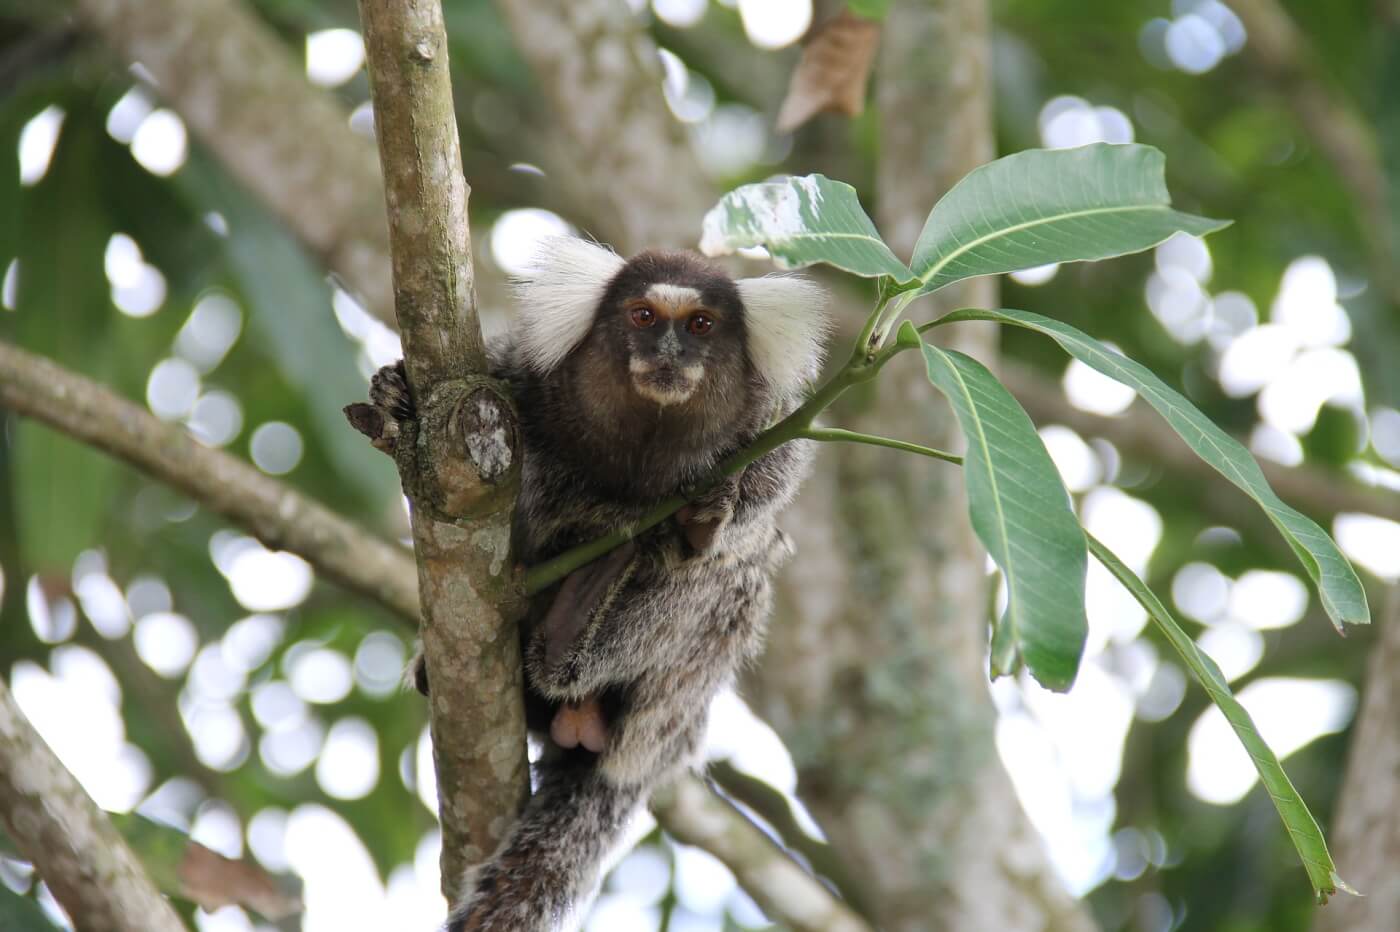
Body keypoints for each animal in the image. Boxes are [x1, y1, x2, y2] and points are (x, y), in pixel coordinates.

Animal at [368, 237, 828, 932]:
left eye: (700, 325)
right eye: (643, 317)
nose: (670, 351)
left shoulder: (768, 435)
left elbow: (751, 527)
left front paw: (699, 520)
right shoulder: (521, 379)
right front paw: (397, 395)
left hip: (671, 709)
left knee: (726, 585)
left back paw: (575, 632)